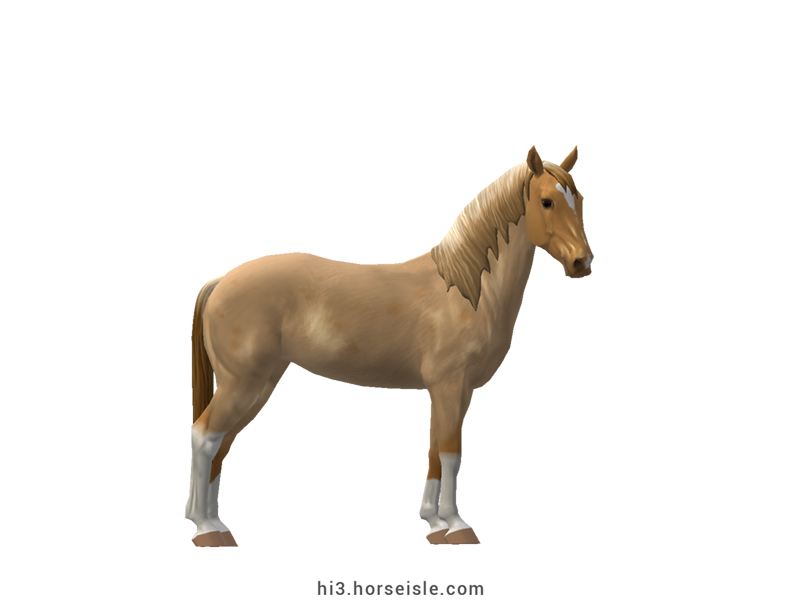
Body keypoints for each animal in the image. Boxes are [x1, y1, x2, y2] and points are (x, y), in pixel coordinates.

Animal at [185, 147, 594, 542]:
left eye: (575, 197)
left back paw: (203, 521)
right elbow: (450, 449)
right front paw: (455, 523)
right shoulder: (449, 383)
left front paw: (432, 522)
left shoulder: (447, 388)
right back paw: (205, 528)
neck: (468, 290)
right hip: (240, 384)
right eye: (547, 201)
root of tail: (221, 283)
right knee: (204, 437)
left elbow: (435, 450)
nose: (581, 261)